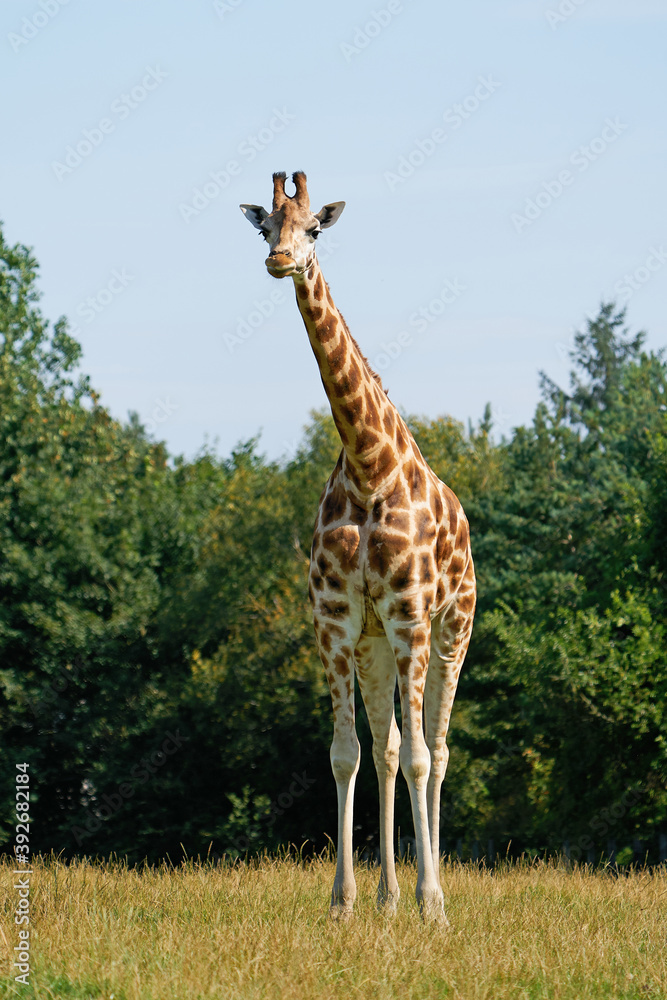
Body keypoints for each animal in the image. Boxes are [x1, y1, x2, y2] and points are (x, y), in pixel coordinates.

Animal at [240, 172, 476, 923]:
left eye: (314, 227)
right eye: (265, 227)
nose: (279, 260)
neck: (369, 464)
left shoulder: (410, 615)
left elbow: (423, 757)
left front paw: (433, 905)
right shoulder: (339, 620)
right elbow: (348, 752)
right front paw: (344, 901)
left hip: (452, 628)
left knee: (437, 747)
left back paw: (431, 890)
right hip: (377, 644)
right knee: (388, 745)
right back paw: (386, 895)